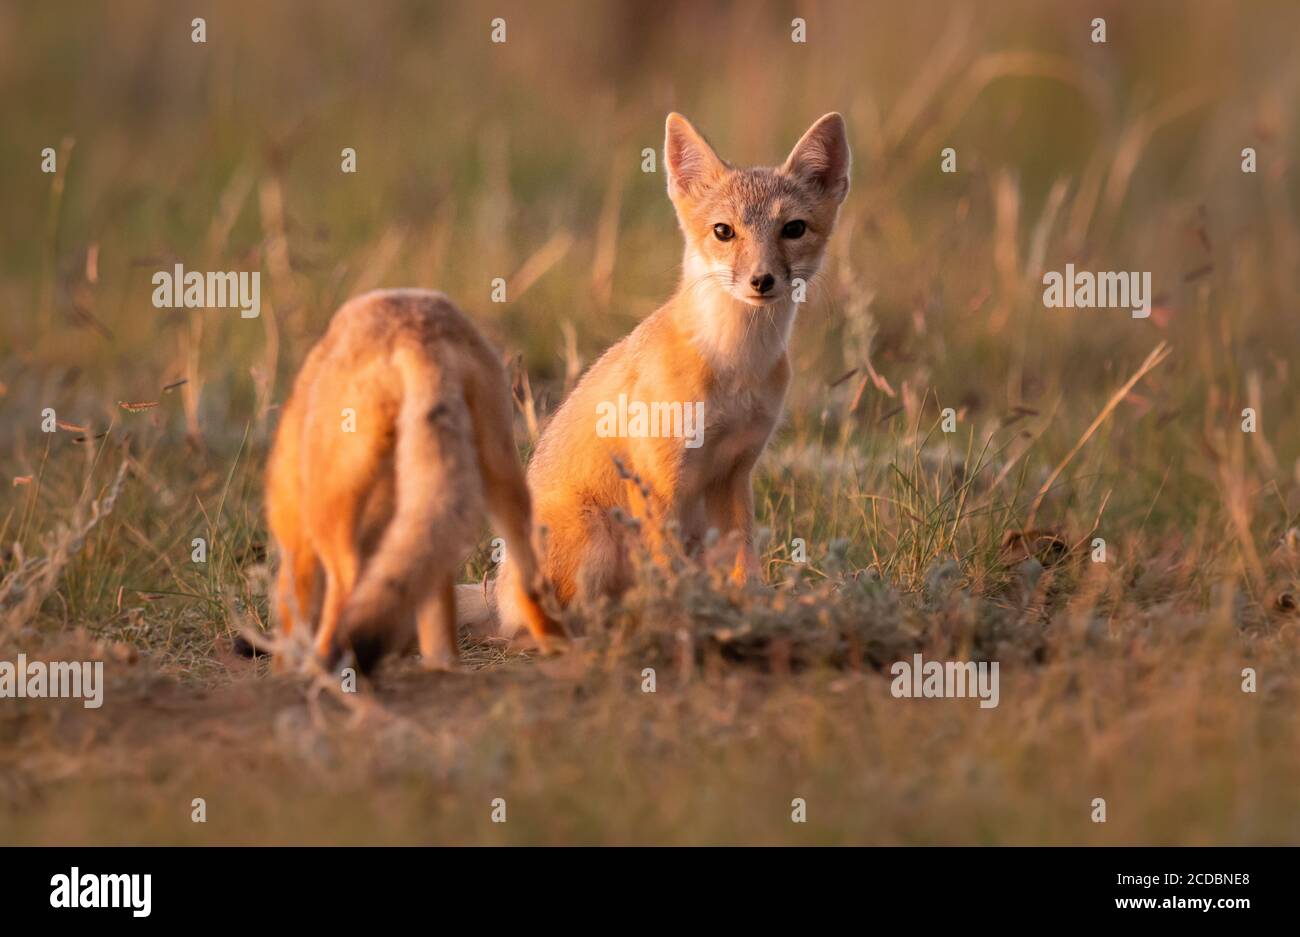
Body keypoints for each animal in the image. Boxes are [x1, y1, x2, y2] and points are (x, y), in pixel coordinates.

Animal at [264, 289, 561, 674]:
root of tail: (418, 333)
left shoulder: (298, 538)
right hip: (502, 478)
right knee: (525, 582)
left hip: (329, 511)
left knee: (347, 587)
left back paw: (326, 667)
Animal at [476, 112, 852, 638]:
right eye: (723, 231)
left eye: (793, 228)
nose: (761, 280)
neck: (736, 366)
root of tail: (500, 591)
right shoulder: (659, 478)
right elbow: (668, 575)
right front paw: (681, 621)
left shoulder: (736, 472)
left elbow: (747, 564)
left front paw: (748, 612)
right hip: (595, 537)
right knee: (547, 619)